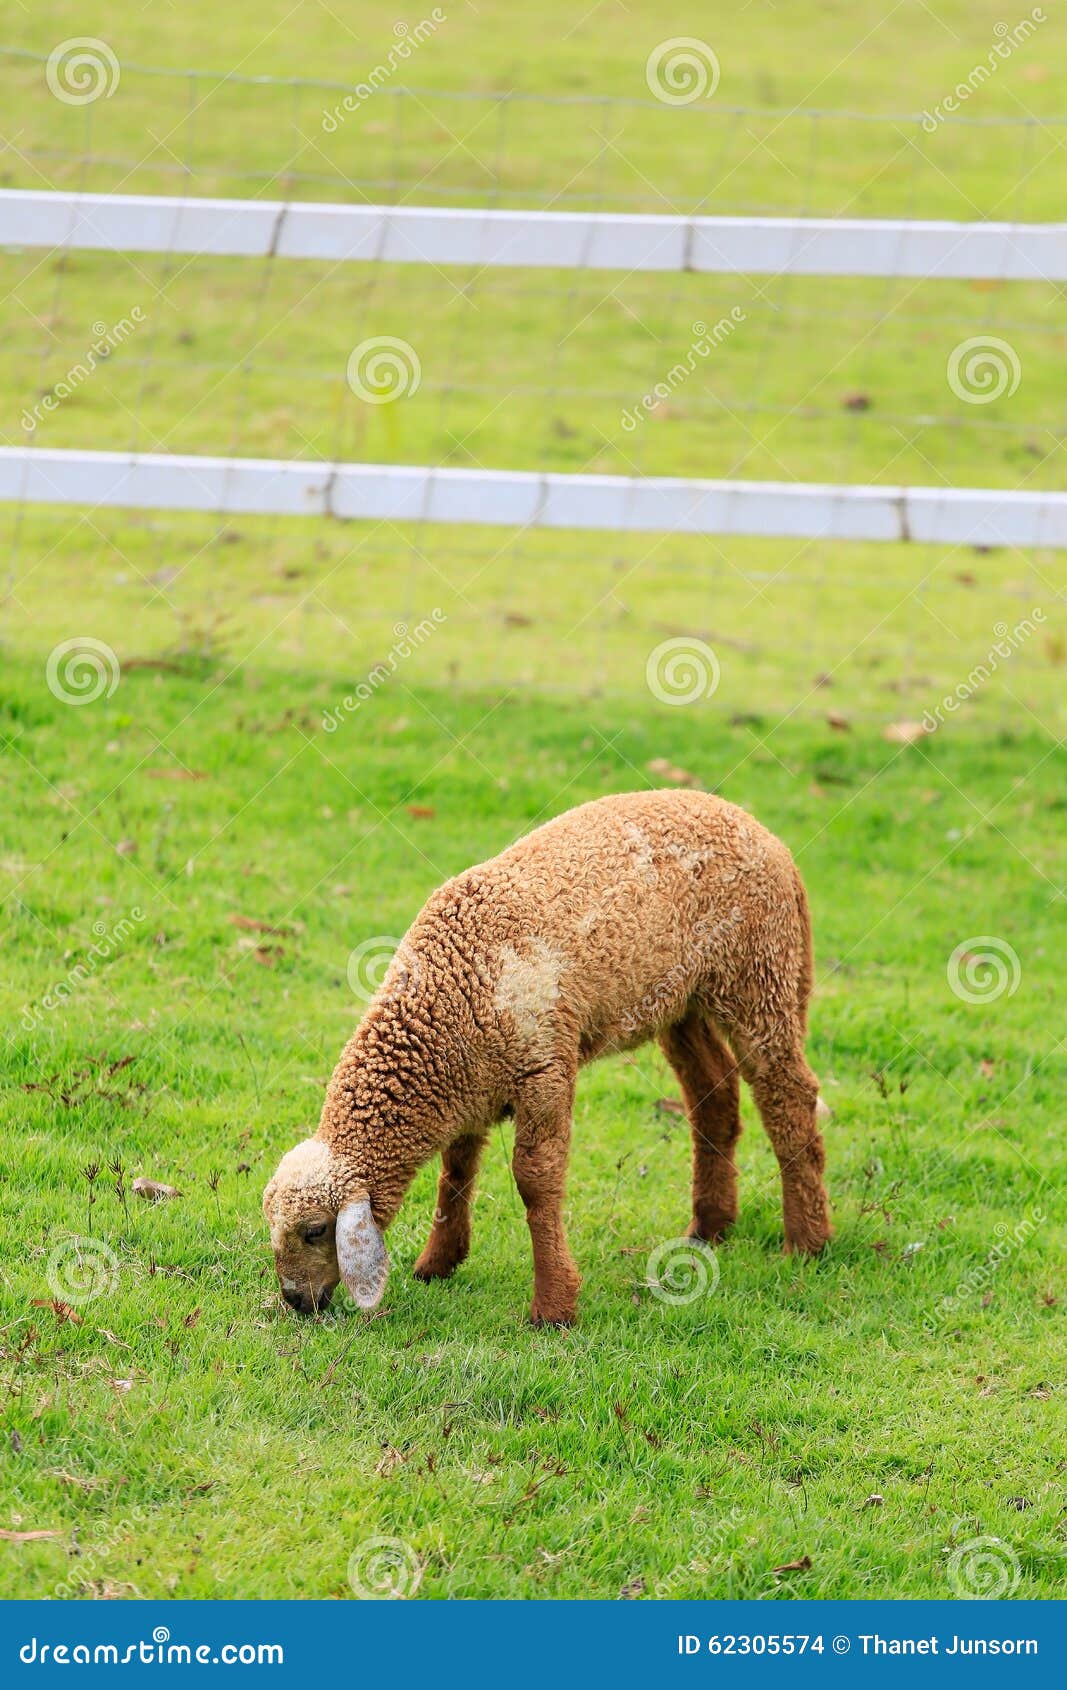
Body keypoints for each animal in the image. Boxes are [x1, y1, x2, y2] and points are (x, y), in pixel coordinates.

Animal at [263, 788, 830, 1325]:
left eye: (316, 1231)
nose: (295, 1301)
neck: (444, 1002)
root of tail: (764, 834)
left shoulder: (544, 1069)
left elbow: (535, 1183)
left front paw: (554, 1305)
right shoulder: (472, 1082)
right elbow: (457, 1169)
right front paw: (438, 1262)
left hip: (759, 970)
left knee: (789, 1094)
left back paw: (807, 1242)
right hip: (683, 1001)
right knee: (714, 1095)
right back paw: (710, 1228)